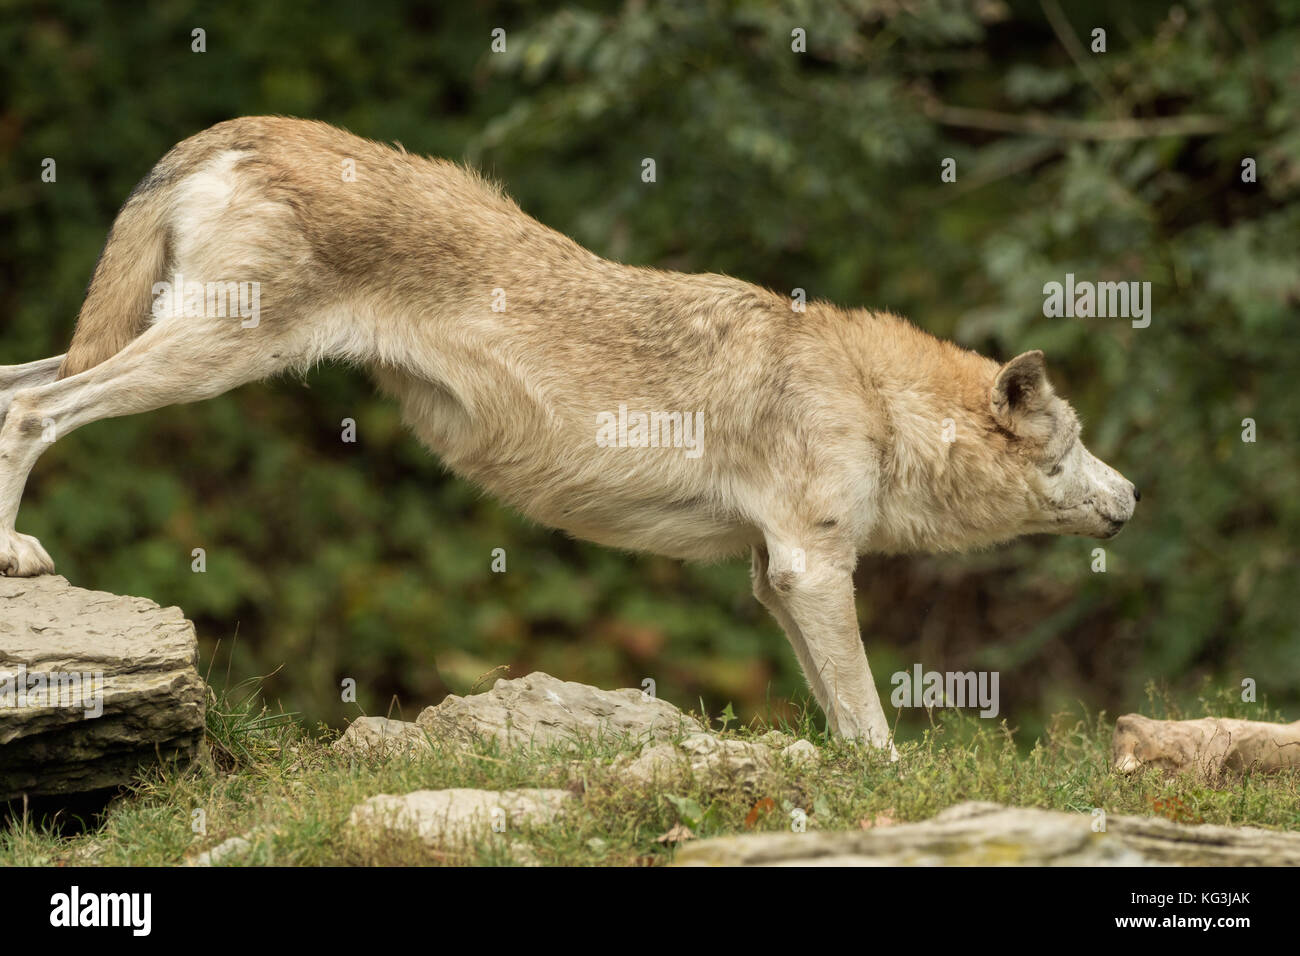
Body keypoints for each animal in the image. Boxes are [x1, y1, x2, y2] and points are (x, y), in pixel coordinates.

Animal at [0, 118, 1138, 750]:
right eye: (1071, 445)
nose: (1131, 498)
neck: (871, 398)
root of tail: (236, 128)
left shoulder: (775, 580)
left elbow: (839, 718)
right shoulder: (813, 568)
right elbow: (872, 721)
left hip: (169, 345)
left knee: (16, 382)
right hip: (204, 359)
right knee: (30, 408)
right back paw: (17, 556)